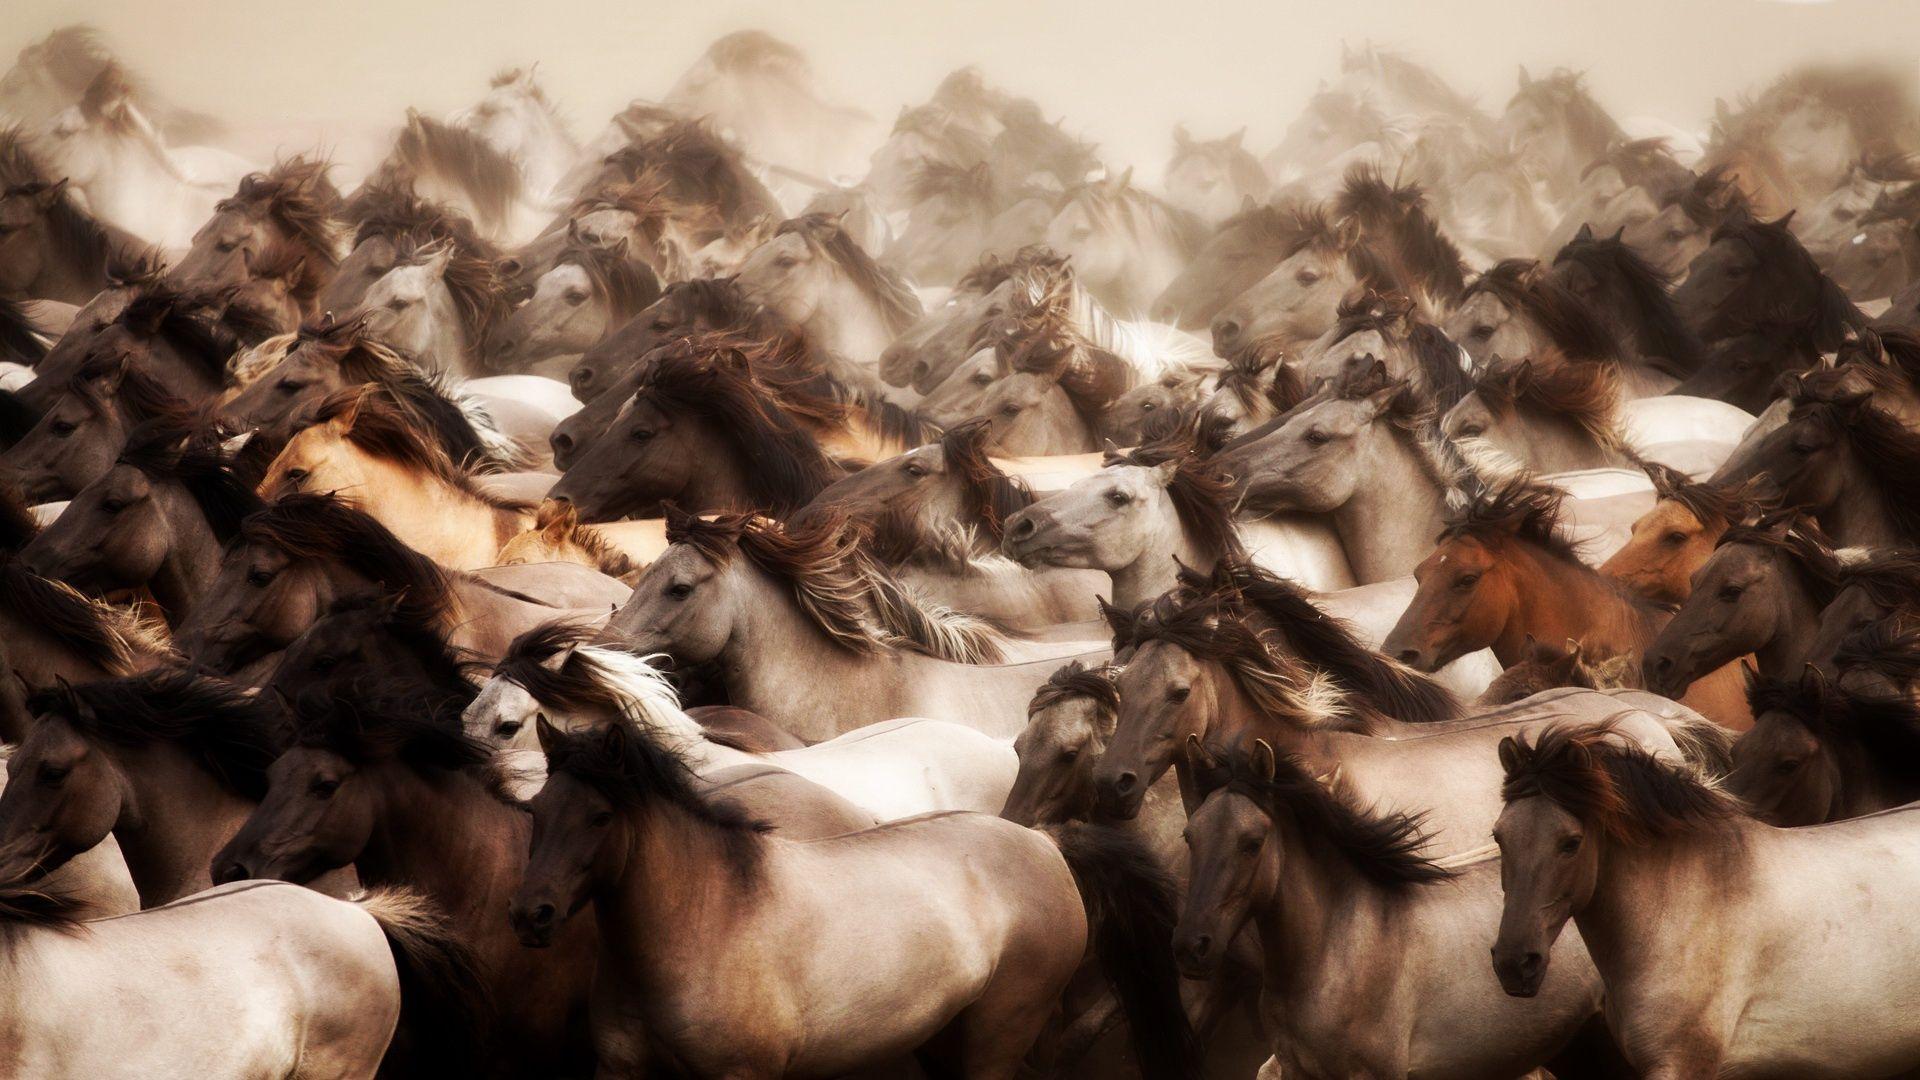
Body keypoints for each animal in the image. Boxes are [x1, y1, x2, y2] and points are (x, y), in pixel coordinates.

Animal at [510, 716, 1197, 1080]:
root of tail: (1043, 842)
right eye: (536, 809)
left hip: (999, 1036)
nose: (529, 914)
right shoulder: (620, 1070)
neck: (708, 921)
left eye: (600, 816)